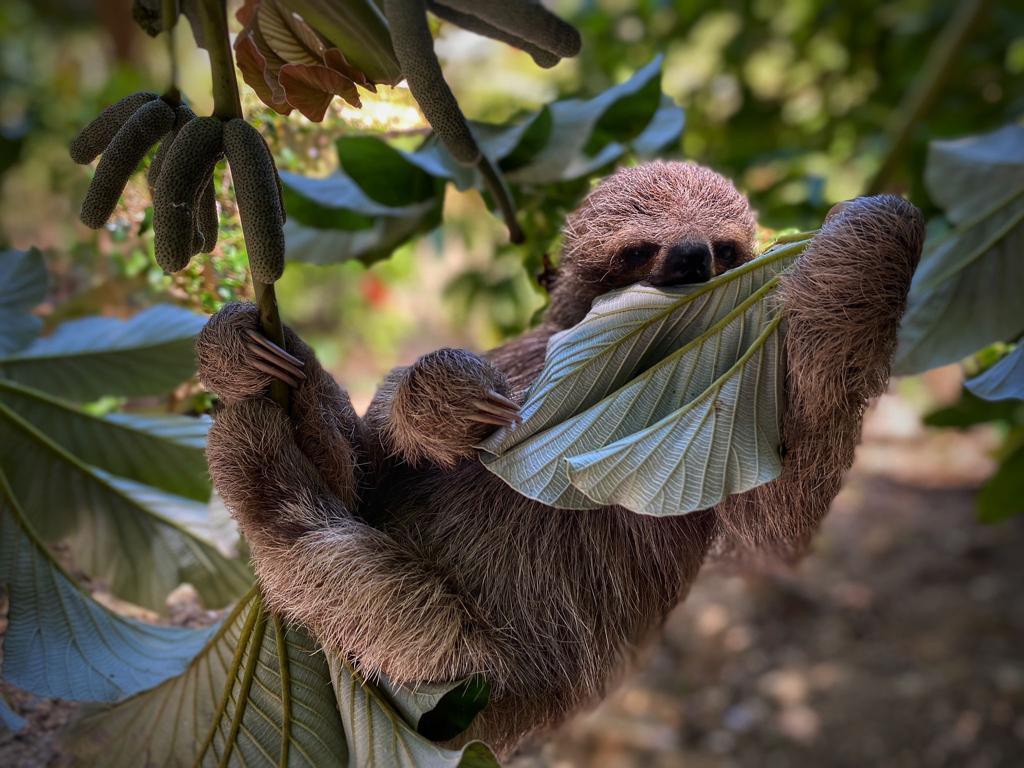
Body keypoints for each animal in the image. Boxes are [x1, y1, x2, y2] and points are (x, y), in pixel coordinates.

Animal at [195, 160, 924, 755]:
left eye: (723, 249)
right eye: (640, 249)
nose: (692, 256)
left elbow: (778, 516)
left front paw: (874, 235)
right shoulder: (526, 357)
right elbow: (375, 469)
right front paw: (439, 400)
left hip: (462, 681)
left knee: (331, 560)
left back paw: (255, 457)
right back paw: (255, 362)